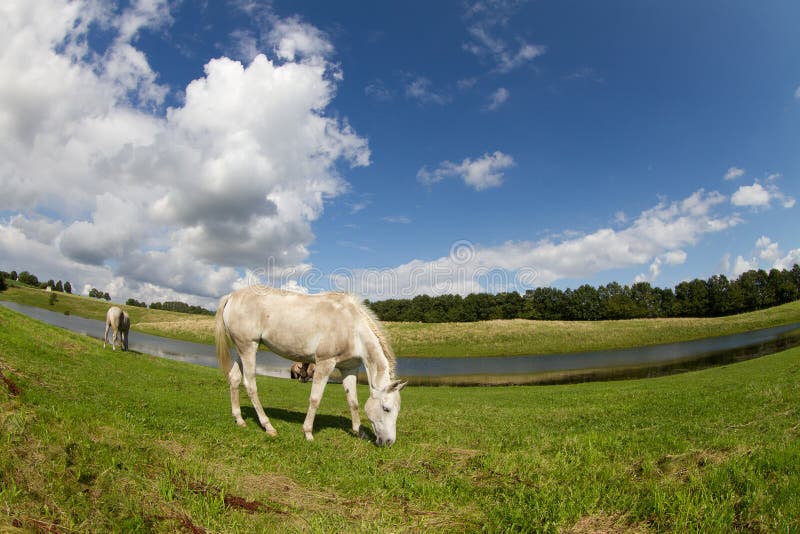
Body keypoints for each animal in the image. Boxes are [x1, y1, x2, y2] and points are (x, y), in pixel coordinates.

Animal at [215, 286, 406, 446]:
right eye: (386, 409)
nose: (389, 442)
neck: (352, 327)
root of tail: (232, 296)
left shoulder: (349, 369)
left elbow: (353, 402)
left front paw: (358, 432)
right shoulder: (324, 364)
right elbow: (315, 399)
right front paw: (308, 433)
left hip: (242, 350)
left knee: (234, 378)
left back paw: (239, 420)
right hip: (249, 348)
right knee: (250, 385)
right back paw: (268, 426)